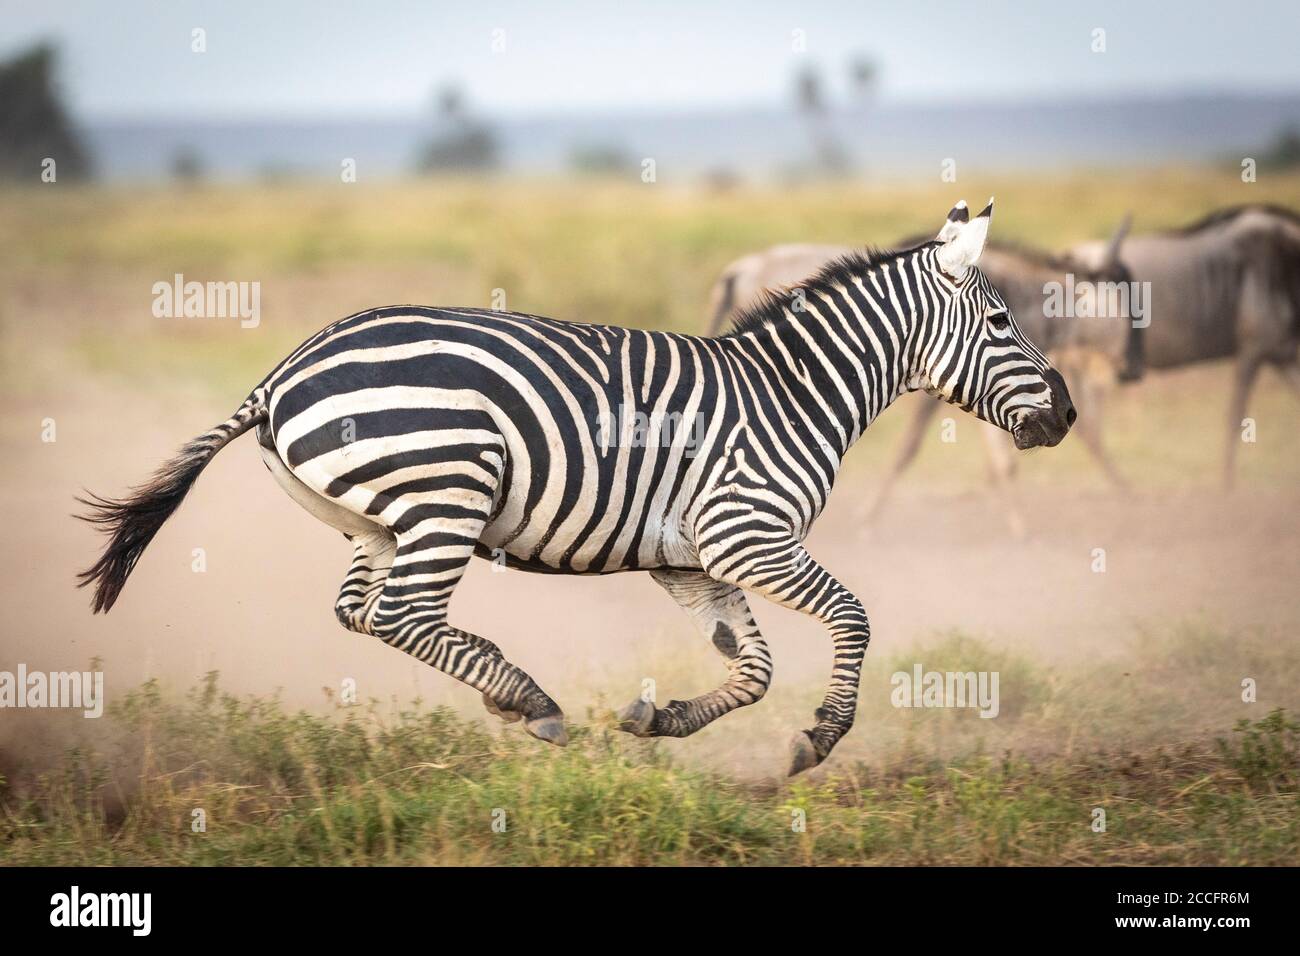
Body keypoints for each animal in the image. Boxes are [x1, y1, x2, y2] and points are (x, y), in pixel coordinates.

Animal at [77, 199, 1074, 776]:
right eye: (1001, 320)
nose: (1064, 415)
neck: (795, 391)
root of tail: (282, 372)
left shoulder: (691, 561)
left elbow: (751, 668)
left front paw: (663, 718)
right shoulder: (748, 534)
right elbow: (854, 617)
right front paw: (818, 739)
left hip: (375, 522)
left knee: (360, 613)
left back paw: (507, 695)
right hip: (448, 492)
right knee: (401, 615)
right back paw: (531, 701)